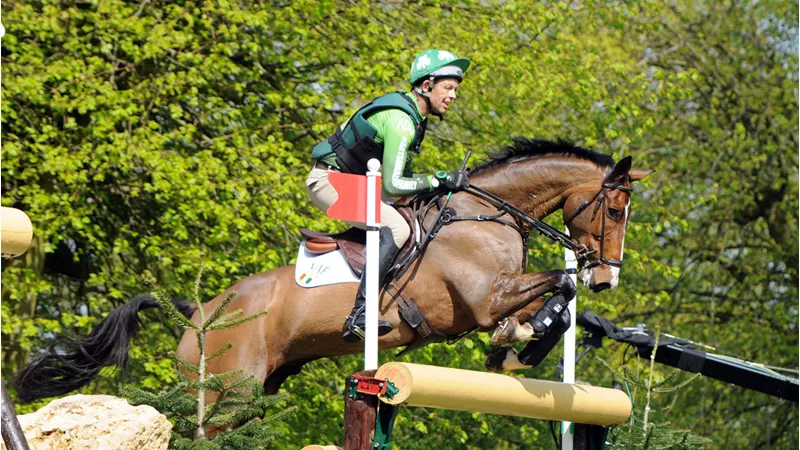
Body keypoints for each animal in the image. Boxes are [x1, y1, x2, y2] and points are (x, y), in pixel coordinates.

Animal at [12, 138, 652, 404]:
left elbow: (557, 304)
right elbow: (555, 285)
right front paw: (518, 335)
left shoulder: (499, 295)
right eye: (615, 210)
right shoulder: (481, 298)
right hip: (228, 389)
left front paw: (516, 349)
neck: (488, 213)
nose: (608, 279)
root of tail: (198, 312)